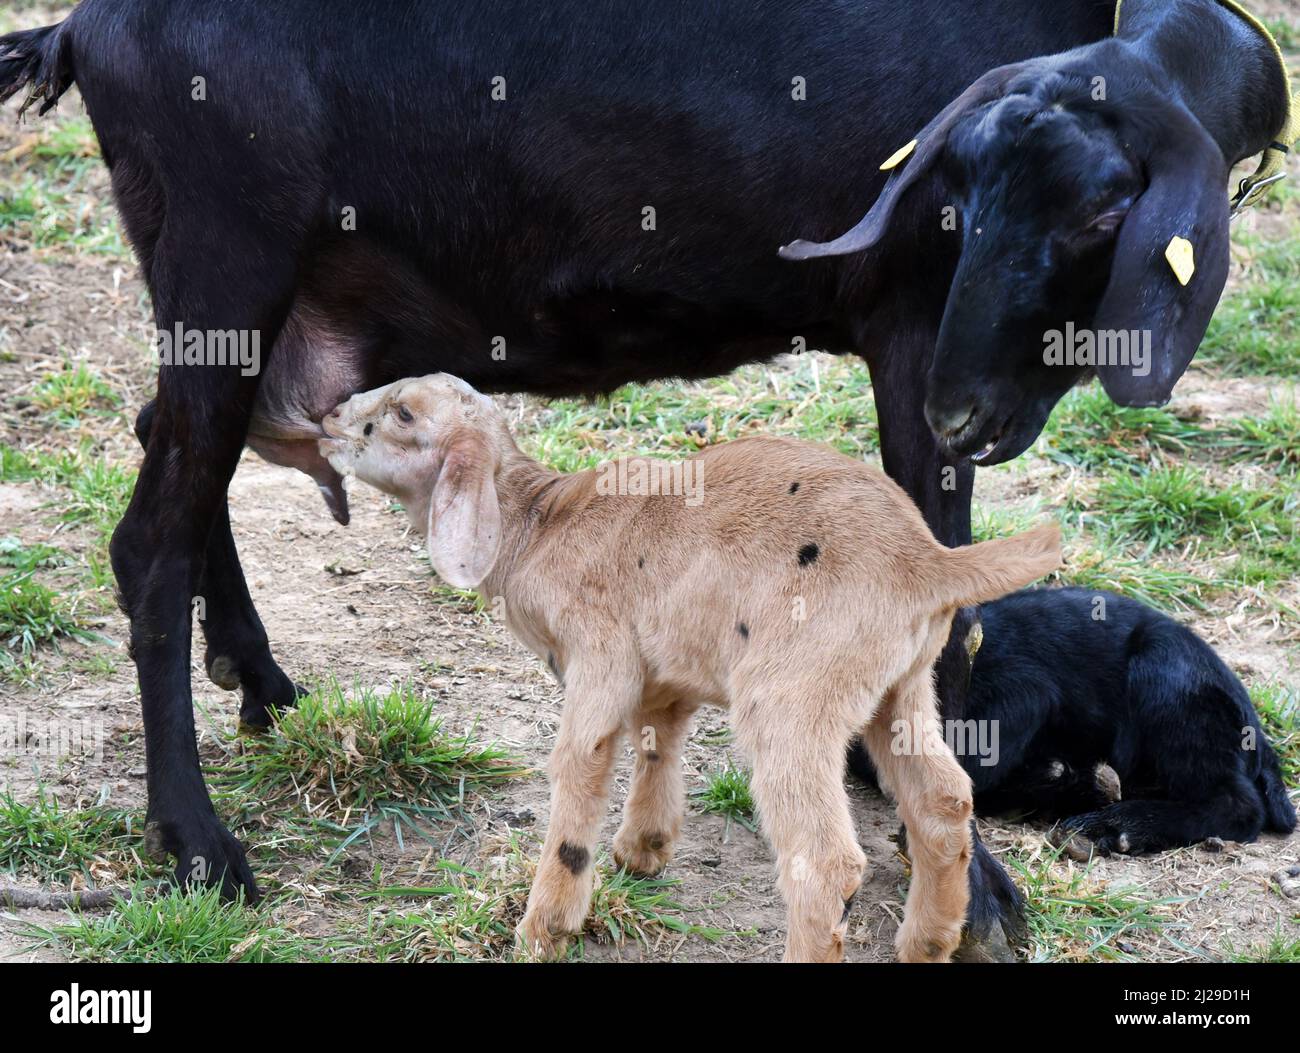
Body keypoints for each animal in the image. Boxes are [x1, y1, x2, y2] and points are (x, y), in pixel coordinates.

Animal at [318, 373, 1063, 961]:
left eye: (404, 413)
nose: (328, 418)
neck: (535, 521)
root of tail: (927, 561)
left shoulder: (601, 655)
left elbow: (579, 769)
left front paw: (545, 928)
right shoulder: (664, 667)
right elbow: (659, 738)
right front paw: (642, 849)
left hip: (792, 693)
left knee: (824, 860)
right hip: (900, 687)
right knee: (943, 801)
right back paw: (927, 943)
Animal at [850, 588, 1298, 854]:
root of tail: (1257, 734)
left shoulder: (1022, 691)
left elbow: (967, 772)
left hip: (1165, 675)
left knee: (1238, 805)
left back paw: (1113, 825)